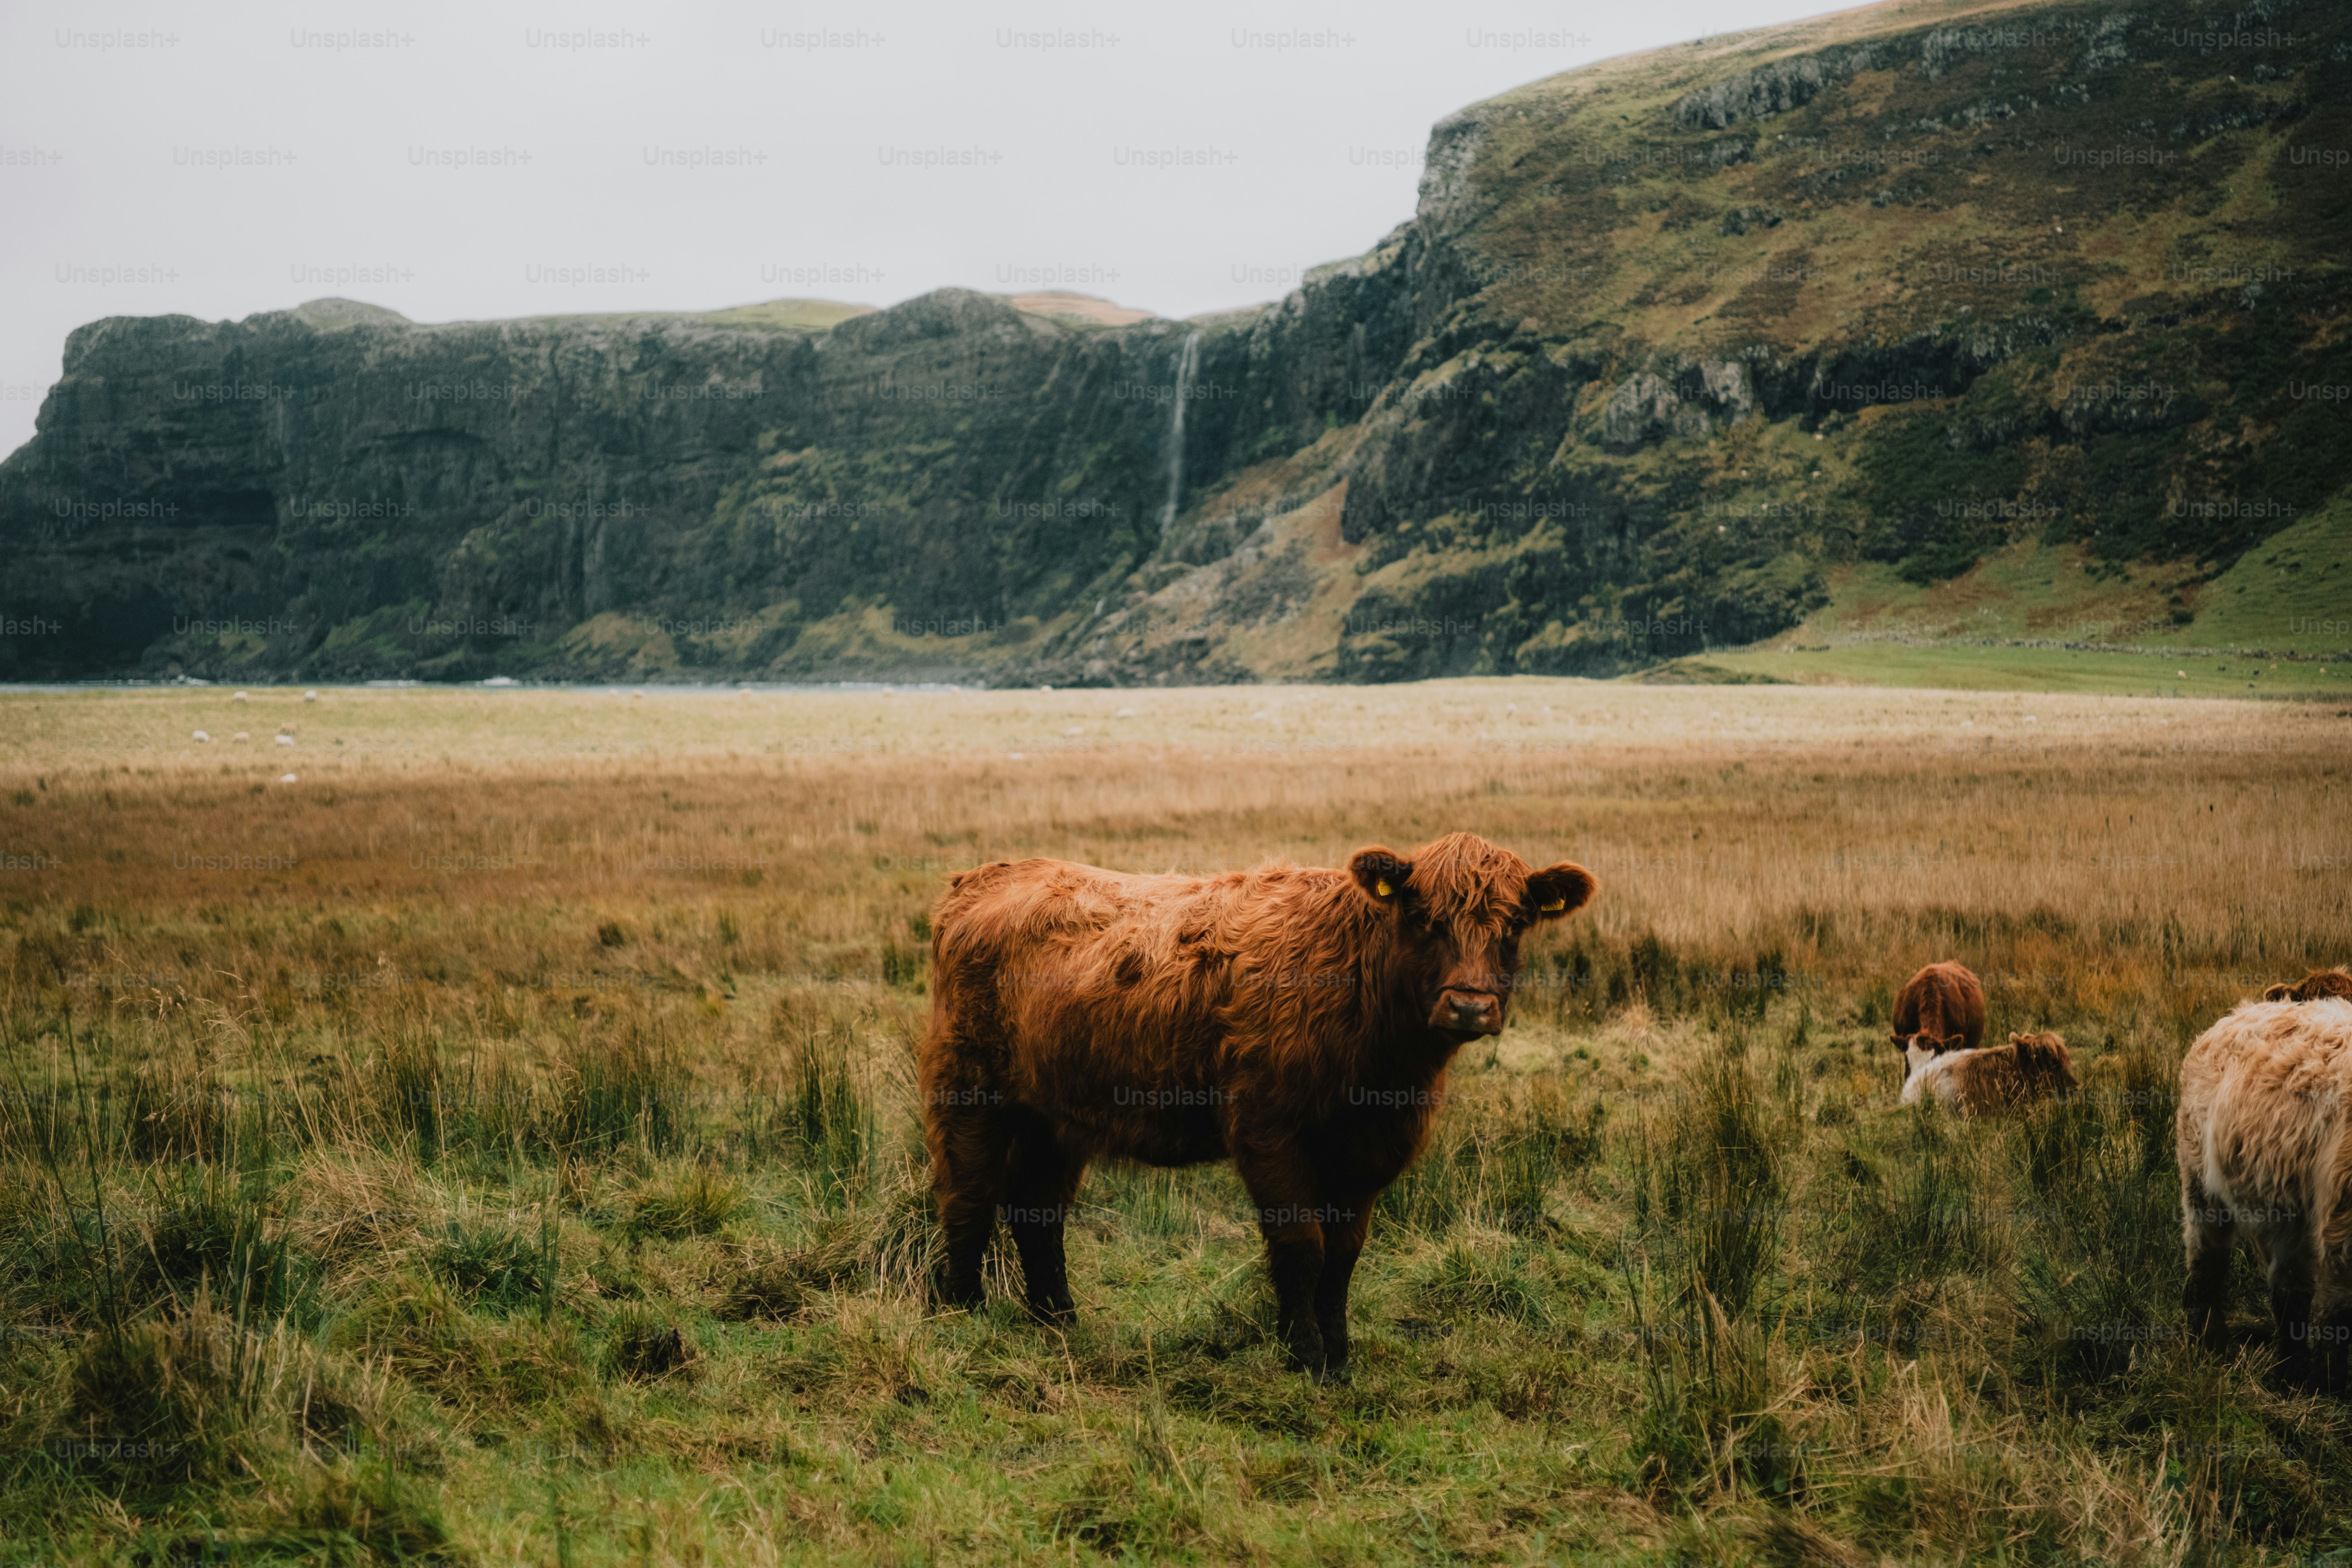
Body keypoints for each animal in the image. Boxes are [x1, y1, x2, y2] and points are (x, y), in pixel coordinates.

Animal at [918, 831, 1596, 1377]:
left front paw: (1339, 1354)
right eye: (1424, 916)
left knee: (1037, 1209)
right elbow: (1301, 1245)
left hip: (1055, 1116)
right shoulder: (1269, 1129)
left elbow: (1343, 1254)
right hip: (969, 1087)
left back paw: (1057, 1320)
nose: (1470, 1006)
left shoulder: (1368, 1149)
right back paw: (963, 1311)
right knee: (969, 1193)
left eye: (1515, 924)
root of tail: (984, 877)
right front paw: (1305, 1356)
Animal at [2178, 997, 2352, 1390]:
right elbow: (2341, 1318)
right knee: (2206, 1257)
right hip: (2201, 1185)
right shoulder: (2341, 1225)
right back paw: (2208, 1343)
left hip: (2287, 1210)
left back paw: (2292, 1371)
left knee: (2288, 1287)